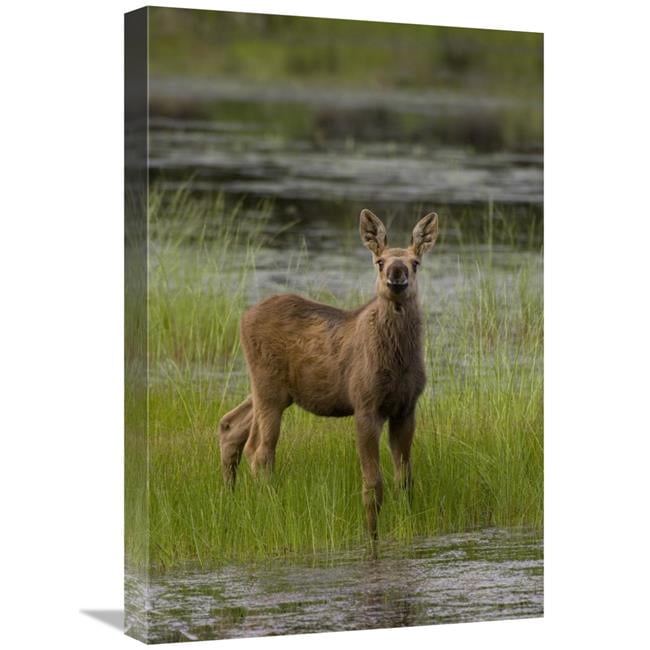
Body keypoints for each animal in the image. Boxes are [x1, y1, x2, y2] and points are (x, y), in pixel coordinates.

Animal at [218, 209, 438, 540]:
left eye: (415, 262)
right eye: (379, 261)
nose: (396, 275)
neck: (398, 359)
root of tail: (243, 317)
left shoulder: (406, 408)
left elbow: (405, 480)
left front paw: (408, 524)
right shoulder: (365, 405)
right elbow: (373, 484)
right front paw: (372, 535)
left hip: (270, 391)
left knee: (230, 425)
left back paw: (232, 500)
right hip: (268, 390)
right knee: (259, 450)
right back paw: (271, 509)